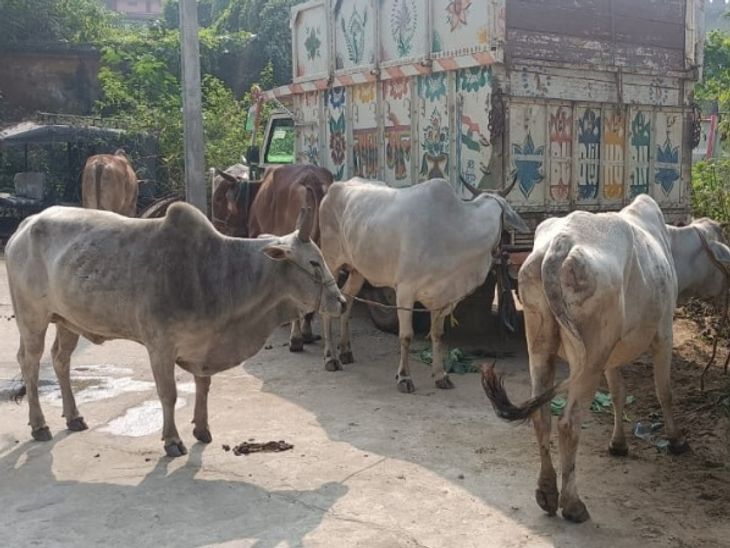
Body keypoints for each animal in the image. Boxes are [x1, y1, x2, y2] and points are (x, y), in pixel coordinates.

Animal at [5, 202, 345, 457]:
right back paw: (39, 425)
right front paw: (172, 440)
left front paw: (202, 429)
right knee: (30, 363)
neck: (219, 272)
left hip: (67, 321)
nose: (341, 301)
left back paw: (74, 416)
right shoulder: (160, 346)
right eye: (314, 263)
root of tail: (25, 225)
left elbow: (203, 386)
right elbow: (167, 394)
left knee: (60, 359)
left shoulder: (204, 345)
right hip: (32, 318)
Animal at [318, 175, 529, 392]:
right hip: (330, 262)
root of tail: (334, 188)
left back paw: (345, 351)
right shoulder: (405, 290)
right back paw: (331, 358)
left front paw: (440, 375)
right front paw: (404, 377)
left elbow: (437, 335)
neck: (456, 233)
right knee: (327, 306)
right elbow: (406, 335)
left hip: (357, 270)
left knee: (347, 299)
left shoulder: (443, 297)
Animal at [482, 194, 730, 523]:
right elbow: (664, 392)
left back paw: (547, 494)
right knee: (568, 424)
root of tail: (559, 246)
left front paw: (618, 444)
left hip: (541, 346)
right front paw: (677, 440)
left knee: (541, 416)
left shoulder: (613, 355)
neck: (668, 246)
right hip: (591, 359)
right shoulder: (664, 335)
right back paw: (572, 504)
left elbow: (618, 394)